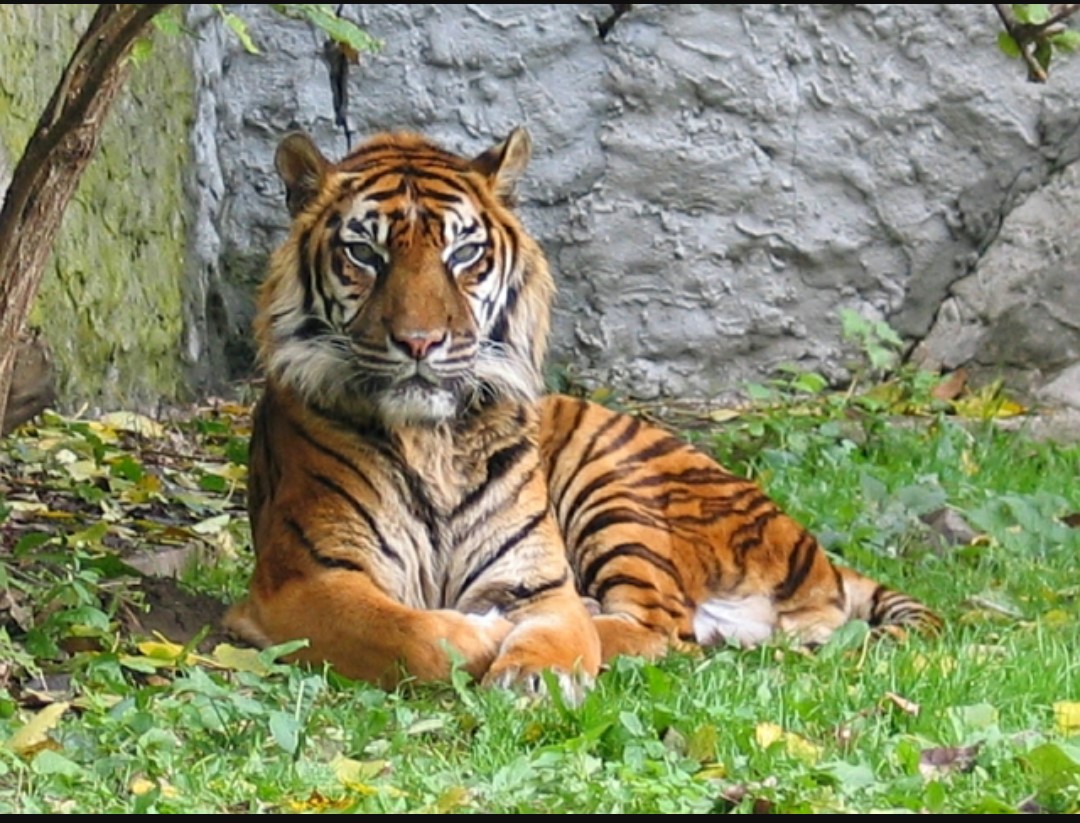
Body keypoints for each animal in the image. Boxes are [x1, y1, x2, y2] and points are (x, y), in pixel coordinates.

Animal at [225, 127, 940, 696]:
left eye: (464, 254)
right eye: (364, 254)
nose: (421, 343)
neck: (433, 441)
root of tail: (815, 554)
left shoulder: (537, 584)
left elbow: (560, 631)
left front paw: (534, 673)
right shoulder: (307, 580)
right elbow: (412, 632)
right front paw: (481, 637)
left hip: (612, 485)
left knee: (663, 626)